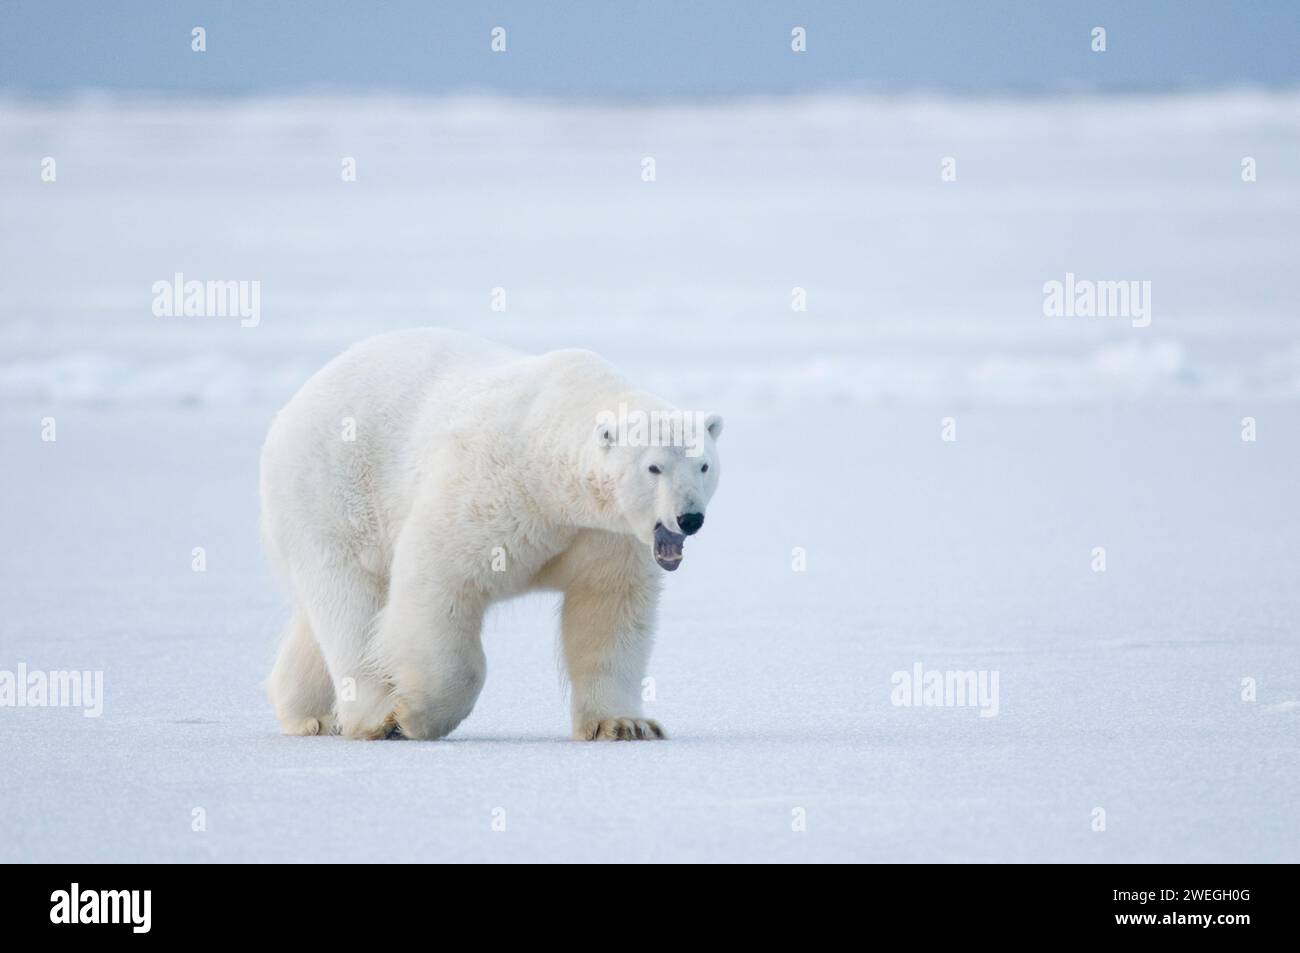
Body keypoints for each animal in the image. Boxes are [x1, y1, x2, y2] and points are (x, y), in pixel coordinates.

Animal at [260, 328, 722, 741]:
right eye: (654, 467)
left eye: (703, 465)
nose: (690, 518)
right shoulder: (492, 489)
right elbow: (438, 583)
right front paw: (416, 716)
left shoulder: (604, 534)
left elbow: (609, 609)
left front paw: (625, 724)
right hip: (332, 489)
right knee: (350, 598)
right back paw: (375, 717)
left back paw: (311, 715)